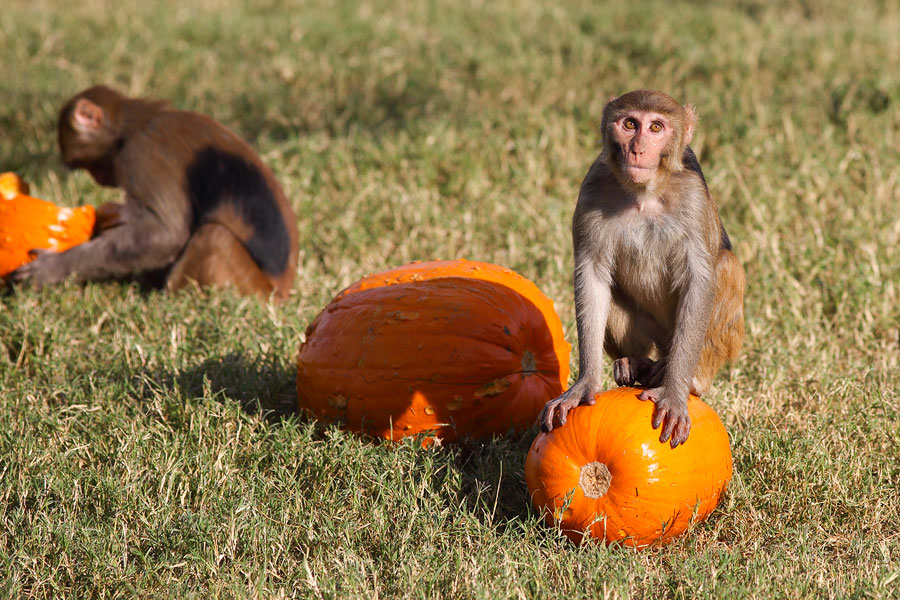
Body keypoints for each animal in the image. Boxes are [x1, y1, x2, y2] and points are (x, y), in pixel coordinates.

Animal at [7, 85, 298, 300]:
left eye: (90, 166)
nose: (100, 179)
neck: (138, 122)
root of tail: (280, 291)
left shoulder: (141, 153)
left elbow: (166, 234)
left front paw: (55, 267)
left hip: (249, 285)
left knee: (213, 235)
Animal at [539, 90, 744, 448]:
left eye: (656, 127)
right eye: (630, 124)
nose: (637, 148)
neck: (643, 194)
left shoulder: (693, 198)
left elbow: (700, 280)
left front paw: (674, 393)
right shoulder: (592, 188)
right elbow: (592, 276)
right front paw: (585, 383)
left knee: (726, 266)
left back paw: (688, 379)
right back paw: (636, 363)